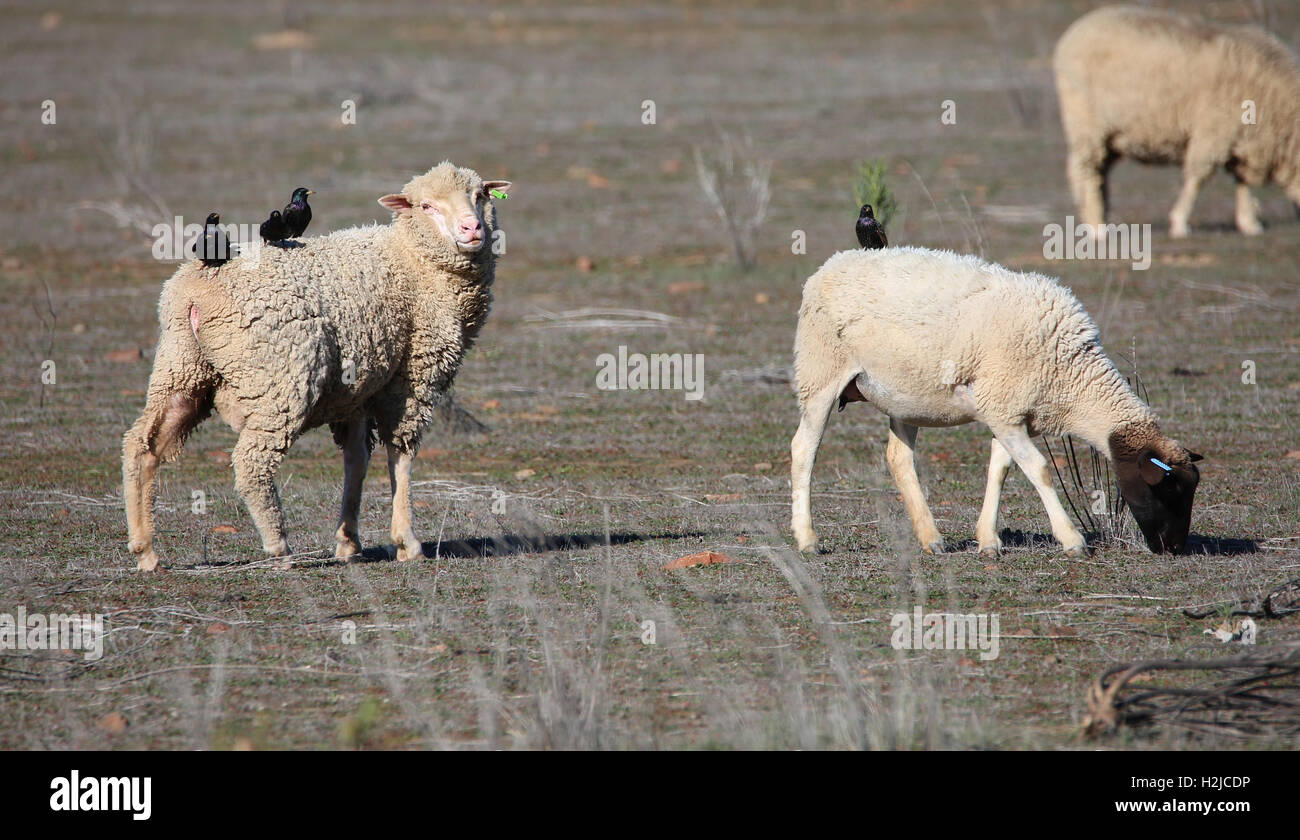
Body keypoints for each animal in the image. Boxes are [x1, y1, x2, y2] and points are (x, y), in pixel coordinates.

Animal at [122, 161, 511, 571]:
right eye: (426, 206)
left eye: (480, 195)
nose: (472, 229)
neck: (412, 260)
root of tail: (199, 286)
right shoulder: (413, 377)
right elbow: (400, 457)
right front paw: (407, 541)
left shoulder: (357, 388)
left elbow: (356, 460)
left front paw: (348, 542)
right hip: (279, 378)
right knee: (251, 461)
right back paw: (279, 548)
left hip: (181, 369)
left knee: (142, 447)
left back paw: (146, 550)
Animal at [790, 247, 1202, 557]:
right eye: (1167, 490)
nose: (1174, 548)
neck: (1071, 374)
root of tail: (831, 264)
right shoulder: (1005, 412)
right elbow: (1040, 470)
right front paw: (1072, 540)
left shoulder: (1008, 411)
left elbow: (1000, 470)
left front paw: (988, 540)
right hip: (820, 373)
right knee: (804, 449)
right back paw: (808, 539)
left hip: (904, 394)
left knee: (898, 458)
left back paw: (931, 539)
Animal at [1053, 5, 1300, 238]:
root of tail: (1070, 36)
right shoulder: (1214, 131)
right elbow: (1198, 178)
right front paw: (1180, 222)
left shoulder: (1241, 138)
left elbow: (1242, 182)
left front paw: (1249, 222)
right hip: (1086, 123)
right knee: (1086, 170)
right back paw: (1097, 227)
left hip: (1110, 136)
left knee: (1099, 172)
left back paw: (1099, 218)